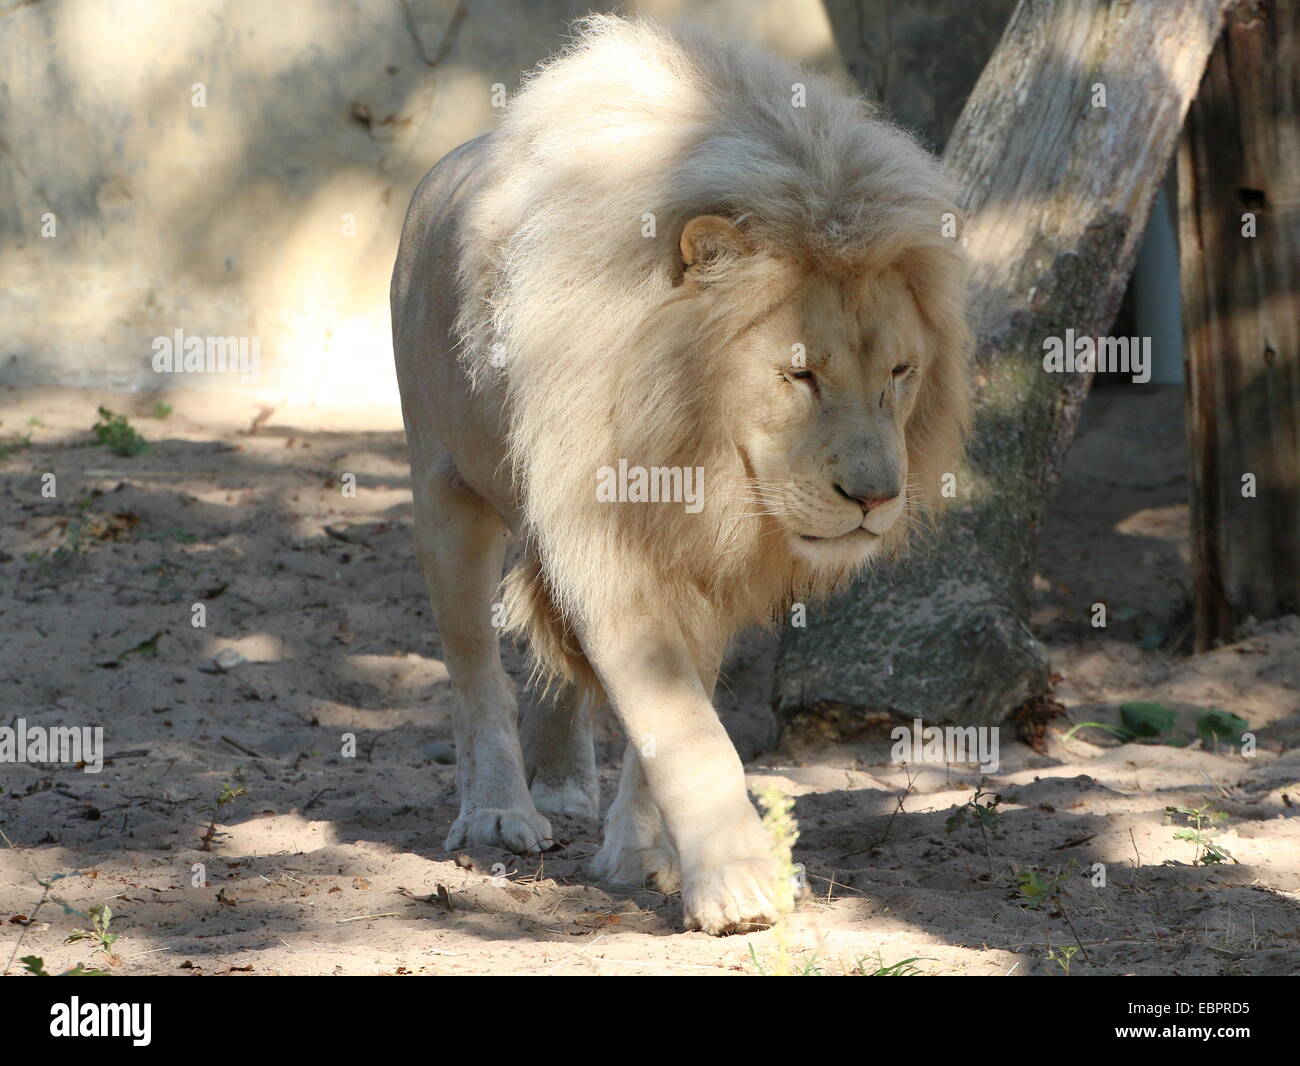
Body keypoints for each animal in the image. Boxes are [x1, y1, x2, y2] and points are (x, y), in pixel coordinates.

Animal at [390, 15, 970, 935]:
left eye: (900, 374)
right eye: (801, 374)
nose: (875, 498)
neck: (696, 451)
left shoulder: (704, 559)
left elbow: (670, 708)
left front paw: (642, 853)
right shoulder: (606, 530)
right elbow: (685, 728)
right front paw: (737, 889)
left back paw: (564, 785)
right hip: (446, 489)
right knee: (475, 667)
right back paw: (499, 812)